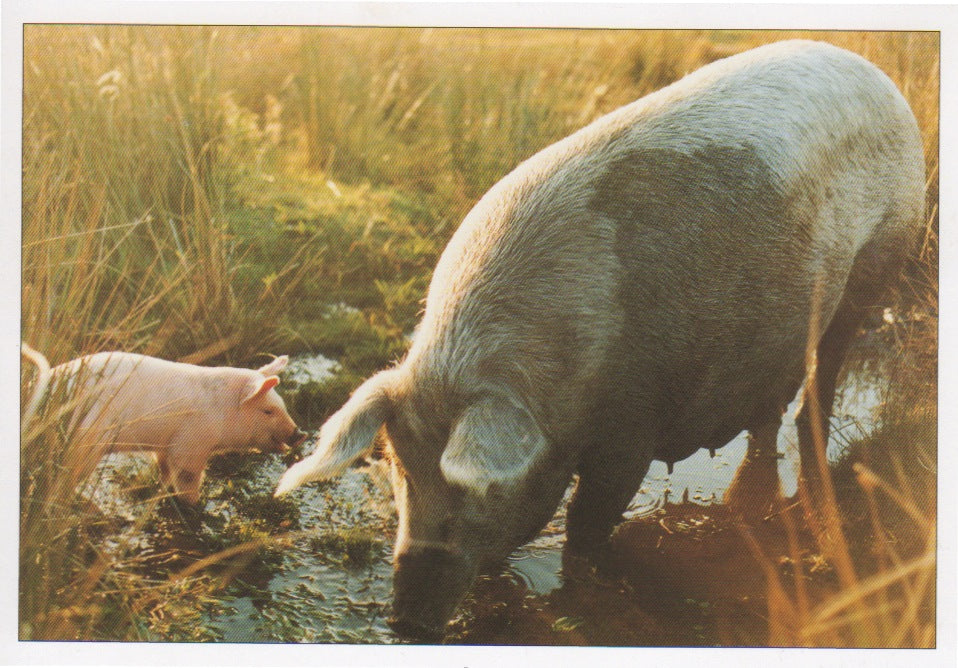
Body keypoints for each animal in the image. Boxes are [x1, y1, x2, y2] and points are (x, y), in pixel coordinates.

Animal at [36, 350, 306, 504]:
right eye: (268, 411)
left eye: (282, 404)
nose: (300, 433)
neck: (220, 410)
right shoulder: (191, 443)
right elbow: (187, 476)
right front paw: (196, 503)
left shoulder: (166, 444)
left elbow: (164, 469)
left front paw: (161, 489)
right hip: (85, 440)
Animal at [275, 40, 925, 639]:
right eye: (395, 463)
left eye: (478, 491)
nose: (406, 622)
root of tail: (879, 77)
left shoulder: (632, 425)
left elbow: (586, 526)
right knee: (767, 412)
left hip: (878, 260)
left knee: (827, 368)